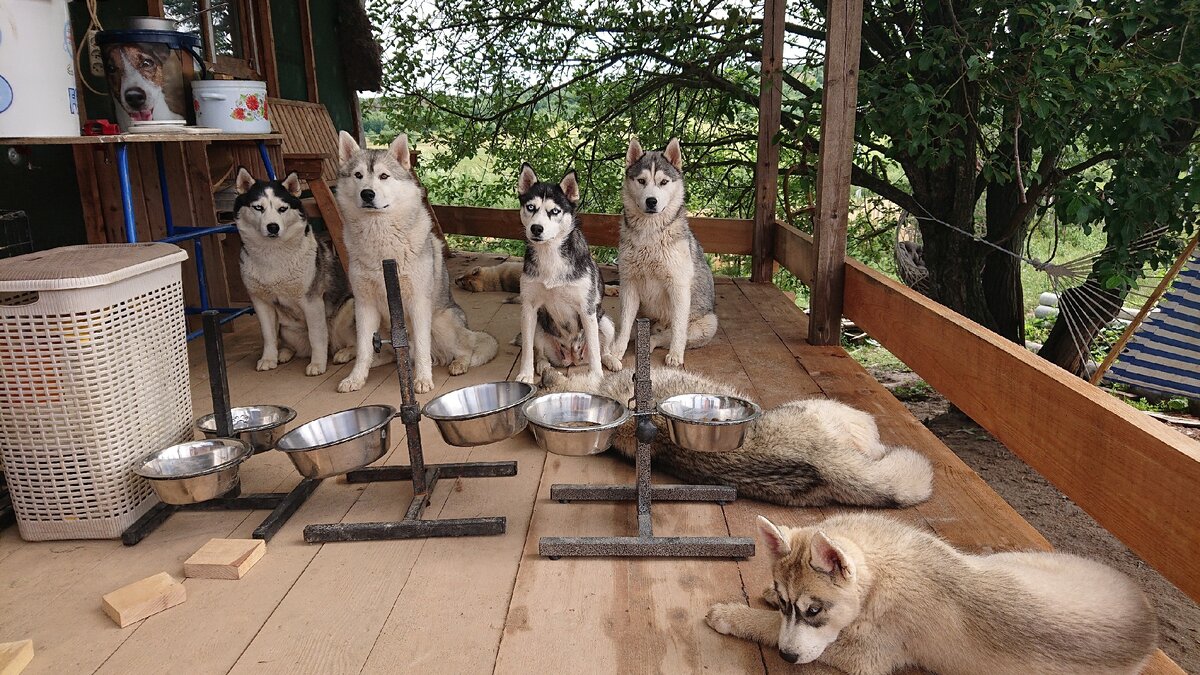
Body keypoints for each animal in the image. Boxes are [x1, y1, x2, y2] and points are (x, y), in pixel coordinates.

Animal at [333, 131, 496, 391]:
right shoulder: (364, 305)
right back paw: (350, 354)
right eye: (358, 175)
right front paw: (356, 378)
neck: (382, 243)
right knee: (383, 353)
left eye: (384, 176)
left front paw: (422, 379)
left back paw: (458, 364)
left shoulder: (418, 303)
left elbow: (421, 347)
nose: (367, 193)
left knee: (465, 349)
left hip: (441, 320)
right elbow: (364, 349)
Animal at [513, 163, 619, 381]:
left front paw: (596, 376)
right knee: (540, 354)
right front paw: (525, 374)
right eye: (531, 207)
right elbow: (527, 350)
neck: (551, 255)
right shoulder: (529, 308)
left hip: (605, 321)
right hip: (539, 327)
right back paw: (543, 366)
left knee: (603, 349)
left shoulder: (587, 310)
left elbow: (595, 349)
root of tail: (572, 358)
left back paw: (611, 360)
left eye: (555, 211)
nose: (536, 228)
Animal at [604, 138, 715, 367]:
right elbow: (625, 325)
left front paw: (676, 354)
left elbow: (679, 330)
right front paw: (617, 352)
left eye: (664, 182)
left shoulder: (678, 286)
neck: (650, 234)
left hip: (708, 323)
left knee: (663, 336)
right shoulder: (629, 284)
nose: (651, 201)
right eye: (641, 181)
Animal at [705, 509, 1156, 672]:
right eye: (788, 604)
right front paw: (764, 596)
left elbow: (768, 627)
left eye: (815, 611)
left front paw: (731, 614)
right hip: (1016, 562)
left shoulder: (866, 656)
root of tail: (1146, 617)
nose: (786, 657)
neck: (880, 579)